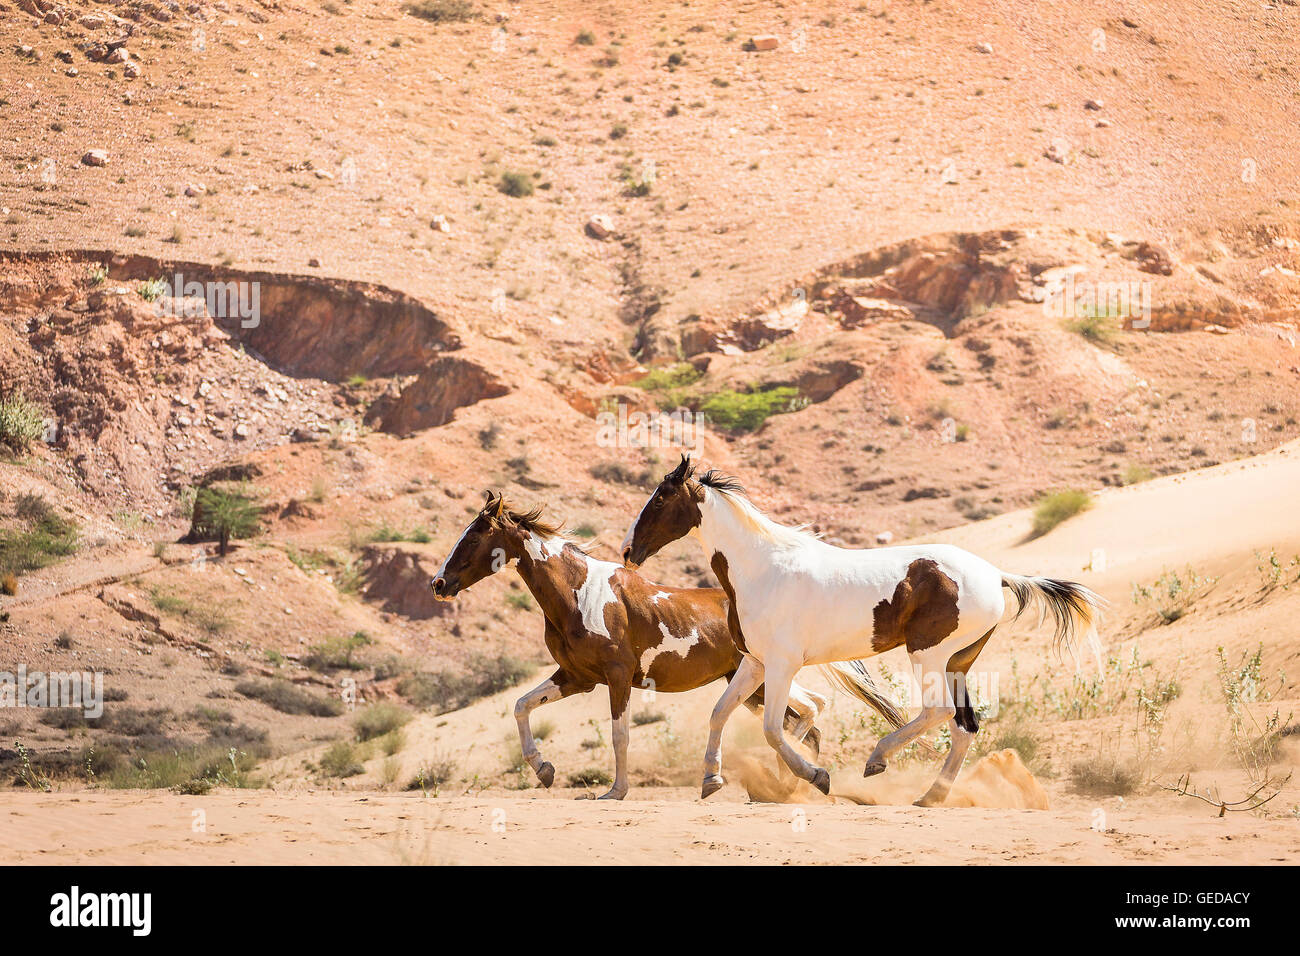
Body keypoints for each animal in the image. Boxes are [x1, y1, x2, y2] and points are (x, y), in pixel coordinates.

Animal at [430, 491, 906, 800]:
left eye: (474, 536)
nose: (438, 583)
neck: (579, 594)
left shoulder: (617, 677)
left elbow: (619, 734)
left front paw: (615, 791)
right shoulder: (576, 678)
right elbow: (522, 706)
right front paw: (544, 770)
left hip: (761, 674)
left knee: (807, 711)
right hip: (749, 679)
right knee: (807, 713)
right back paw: (784, 783)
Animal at [620, 456, 1104, 806]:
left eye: (661, 498)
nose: (628, 551)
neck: (762, 568)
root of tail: (996, 574)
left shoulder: (781, 665)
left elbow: (774, 729)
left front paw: (815, 777)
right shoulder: (754, 662)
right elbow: (720, 712)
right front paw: (712, 779)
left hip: (927, 654)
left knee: (939, 712)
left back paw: (877, 761)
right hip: (957, 663)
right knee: (965, 726)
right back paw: (930, 797)